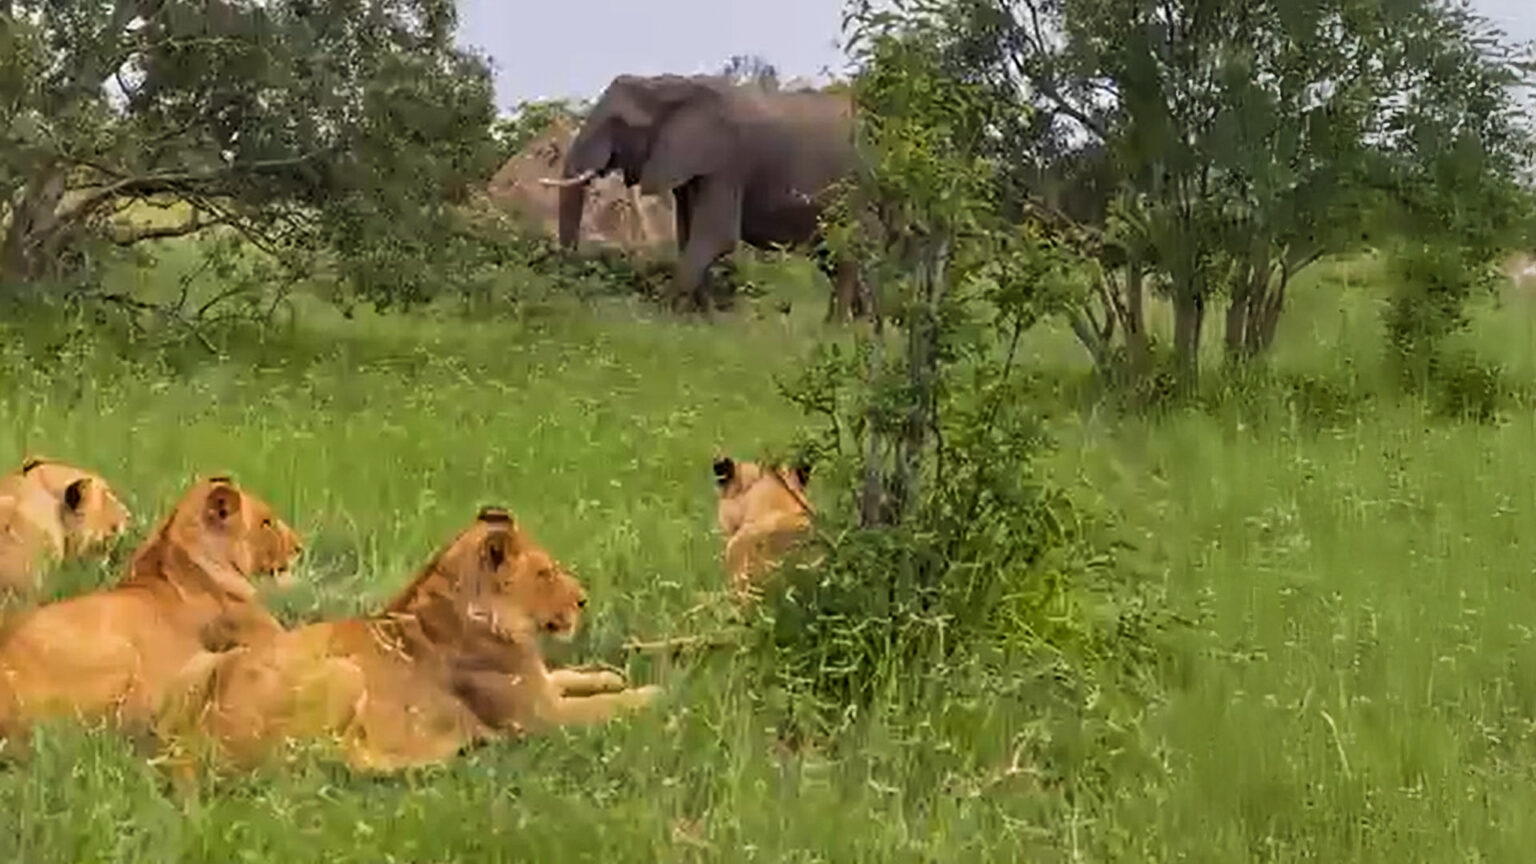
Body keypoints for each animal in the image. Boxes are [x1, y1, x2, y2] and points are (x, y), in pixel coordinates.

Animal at [155, 506, 660, 775]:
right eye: (545, 573)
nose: (583, 600)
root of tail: (193, 739)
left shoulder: (540, 686)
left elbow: (570, 676)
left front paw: (609, 674)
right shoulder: (540, 718)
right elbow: (610, 707)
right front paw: (656, 694)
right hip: (343, 674)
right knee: (329, 759)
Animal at [540, 74, 867, 320]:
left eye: (620, 122)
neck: (673, 85)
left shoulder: (728, 163)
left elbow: (714, 237)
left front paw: (660, 318)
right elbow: (689, 238)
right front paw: (706, 320)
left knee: (848, 254)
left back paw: (837, 330)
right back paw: (861, 327)